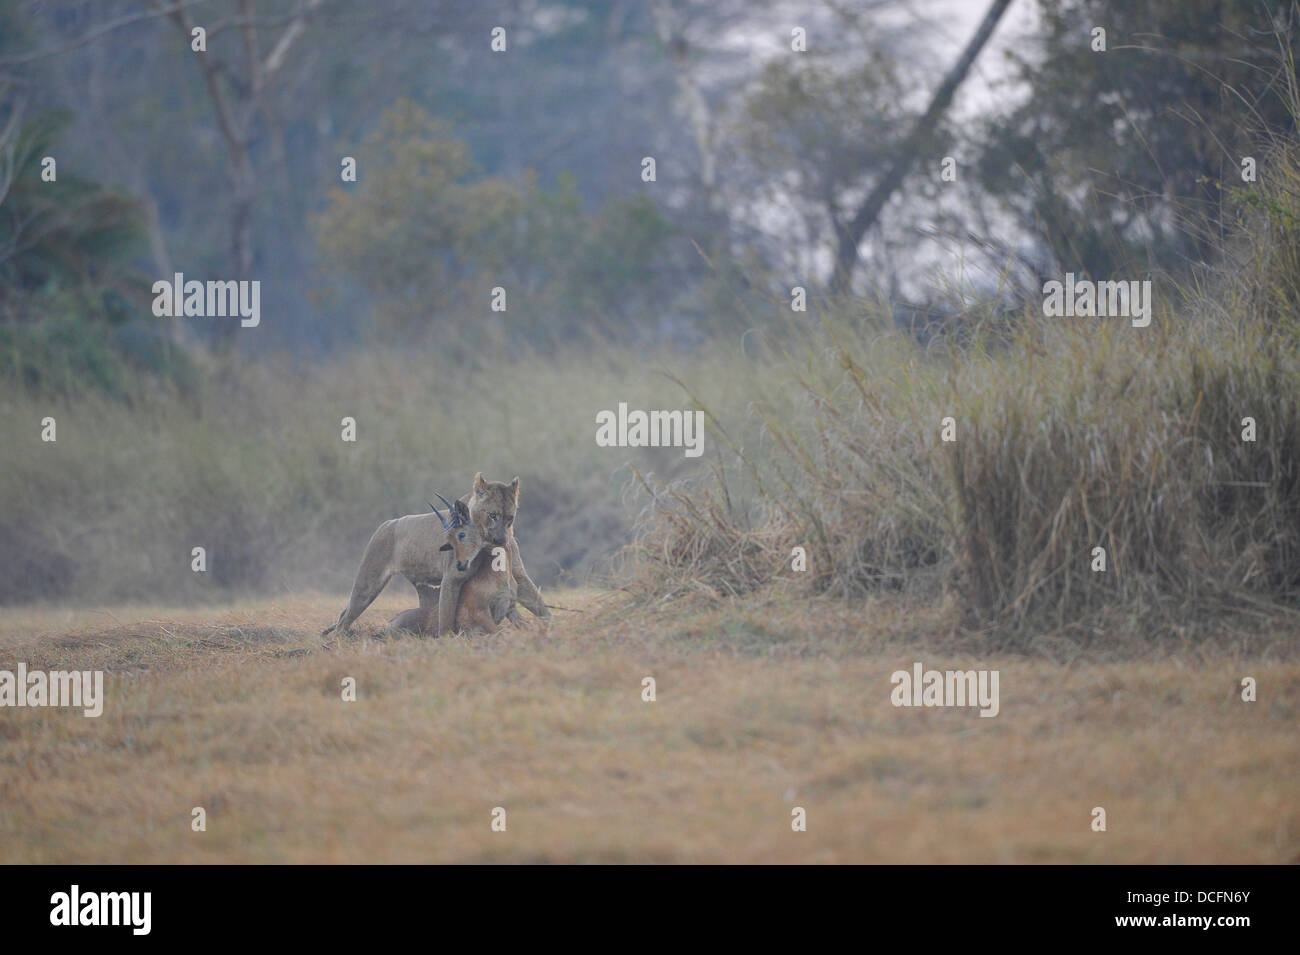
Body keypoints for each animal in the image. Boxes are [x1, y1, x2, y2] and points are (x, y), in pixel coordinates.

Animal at [323, 472, 550, 635]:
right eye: (493, 515)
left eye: (510, 518)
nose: (501, 540)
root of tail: (386, 524)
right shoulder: (452, 578)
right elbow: (447, 616)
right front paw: (447, 641)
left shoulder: (519, 575)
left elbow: (540, 605)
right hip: (367, 583)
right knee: (345, 618)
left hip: (423, 588)